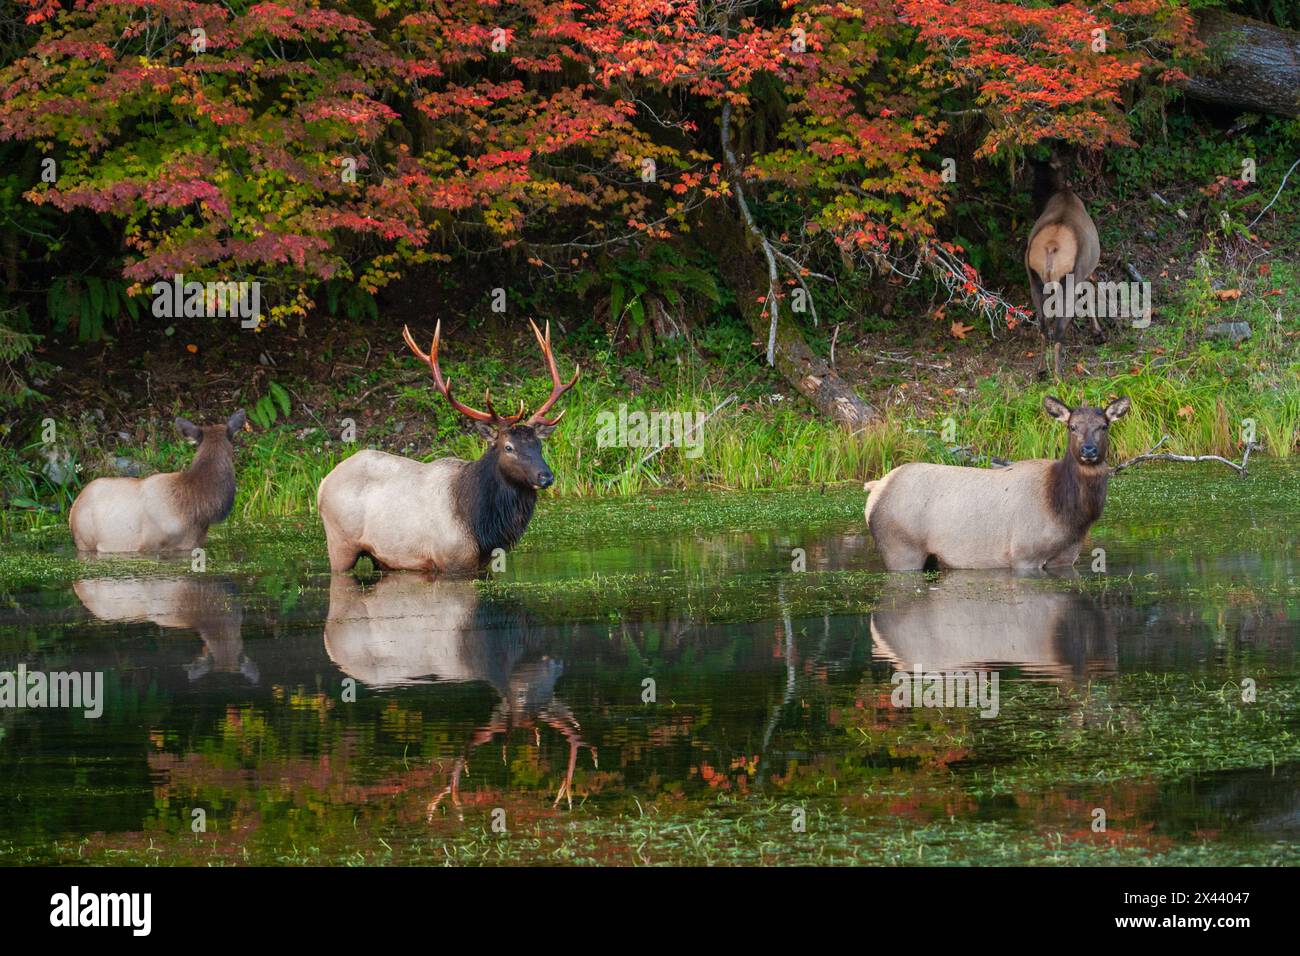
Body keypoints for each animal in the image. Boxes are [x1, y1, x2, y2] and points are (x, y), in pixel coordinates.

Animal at [317, 319, 578, 574]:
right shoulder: (452, 560)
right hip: (340, 543)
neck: (480, 527)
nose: (546, 476)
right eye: (508, 447)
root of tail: (322, 484)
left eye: (538, 445)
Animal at [863, 395, 1130, 572]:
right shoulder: (1024, 553)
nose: (1089, 450)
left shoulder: (1066, 556)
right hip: (900, 548)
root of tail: (875, 488)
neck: (1068, 514)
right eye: (1072, 427)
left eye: (1104, 426)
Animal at [1025, 154, 1101, 378]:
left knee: (1043, 326)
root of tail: (1051, 246)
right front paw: (1098, 331)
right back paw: (1059, 375)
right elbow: (1090, 291)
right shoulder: (1085, 272)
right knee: (1059, 328)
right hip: (1068, 281)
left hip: (1035, 280)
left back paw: (1042, 369)